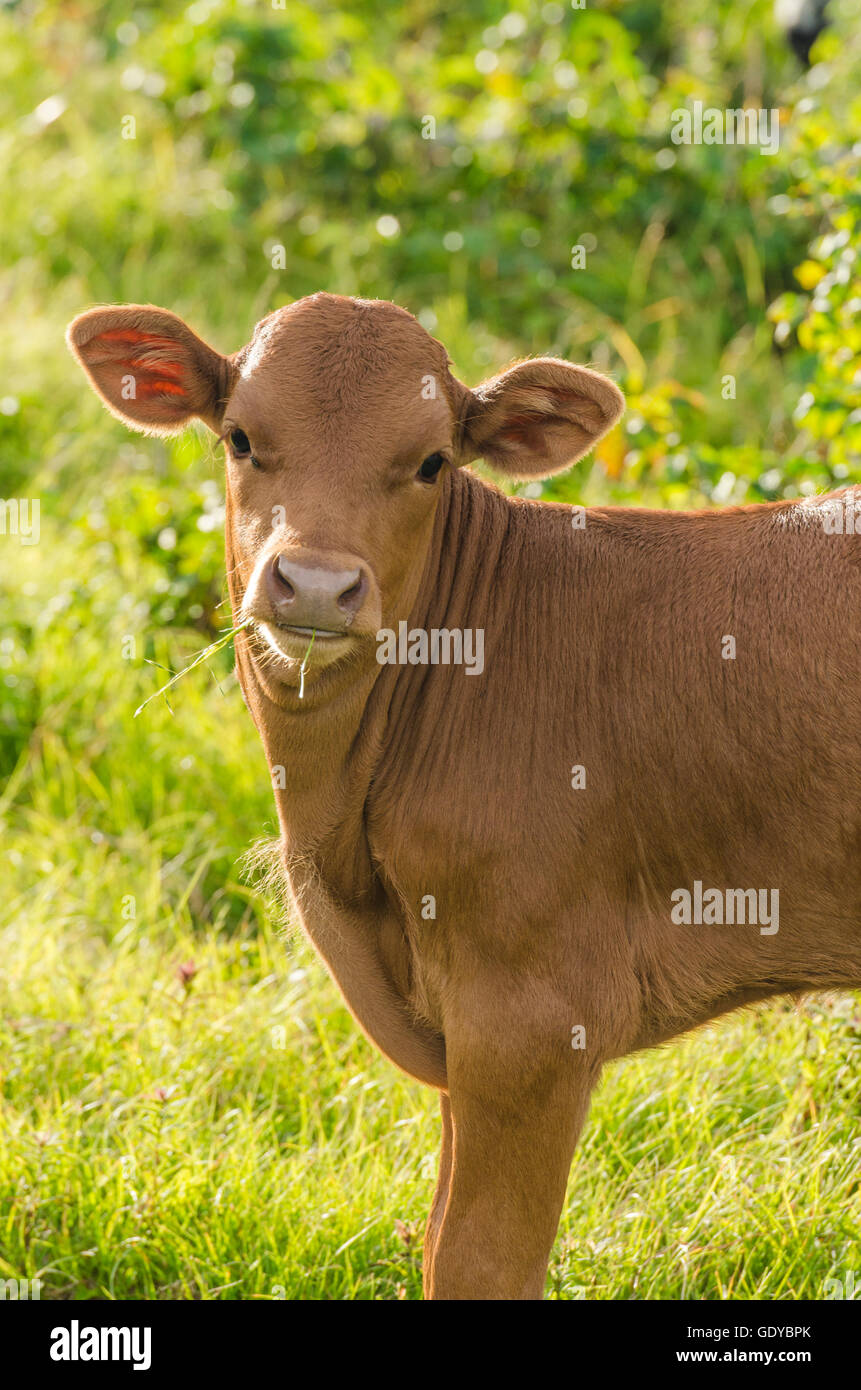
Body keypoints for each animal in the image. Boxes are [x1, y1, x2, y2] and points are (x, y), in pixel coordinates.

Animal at [67, 293, 861, 1300]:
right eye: (241, 437)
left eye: (431, 463)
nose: (316, 583)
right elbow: (439, 1238)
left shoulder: (530, 1022)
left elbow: (478, 1260)